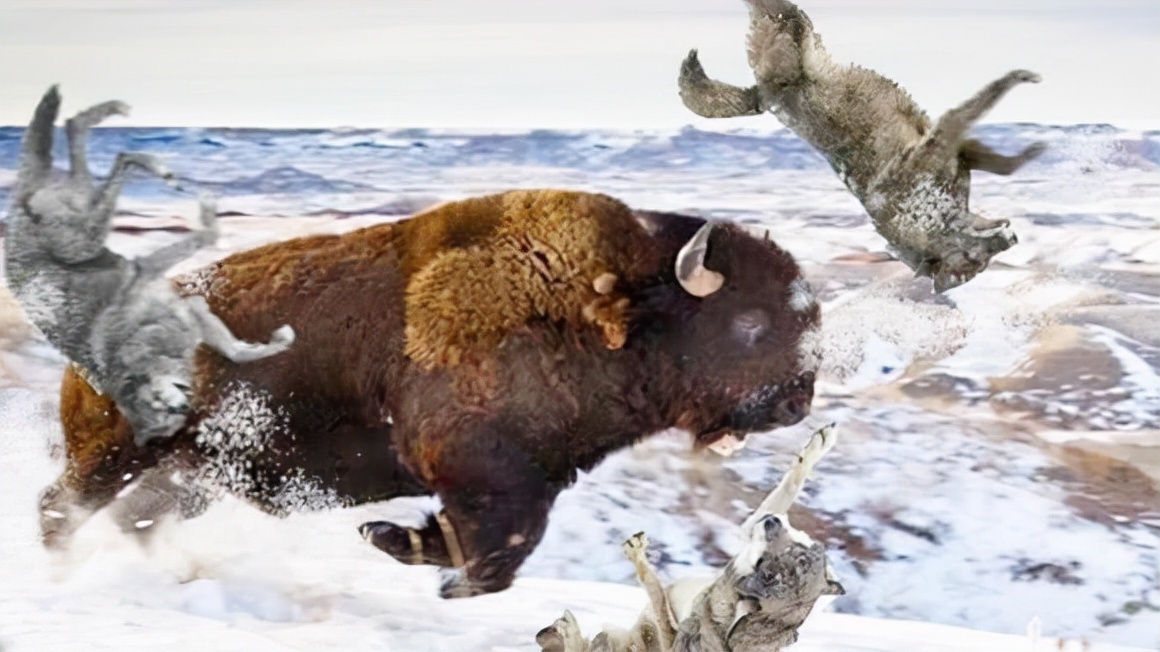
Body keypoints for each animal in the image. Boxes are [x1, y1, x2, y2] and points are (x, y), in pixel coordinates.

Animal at [3, 86, 295, 445]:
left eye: (161, 403)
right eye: (162, 414)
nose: (184, 408)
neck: (139, 346)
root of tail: (18, 205)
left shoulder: (154, 277)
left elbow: (206, 236)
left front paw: (208, 214)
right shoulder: (193, 310)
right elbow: (239, 352)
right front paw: (276, 345)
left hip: (82, 241)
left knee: (99, 145)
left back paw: (140, 149)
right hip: (85, 220)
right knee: (82, 144)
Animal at [537, 424, 843, 652]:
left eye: (764, 568)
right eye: (794, 551)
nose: (772, 523)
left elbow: (655, 590)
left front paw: (637, 553)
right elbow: (792, 482)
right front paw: (821, 441)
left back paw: (567, 627)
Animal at [678, 0, 1046, 292]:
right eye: (974, 260)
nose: (1012, 240)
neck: (928, 216)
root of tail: (761, 100)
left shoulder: (959, 154)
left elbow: (1005, 165)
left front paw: (1033, 152)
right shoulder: (938, 143)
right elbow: (982, 103)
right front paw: (1022, 78)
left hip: (796, 35)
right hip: (789, 33)